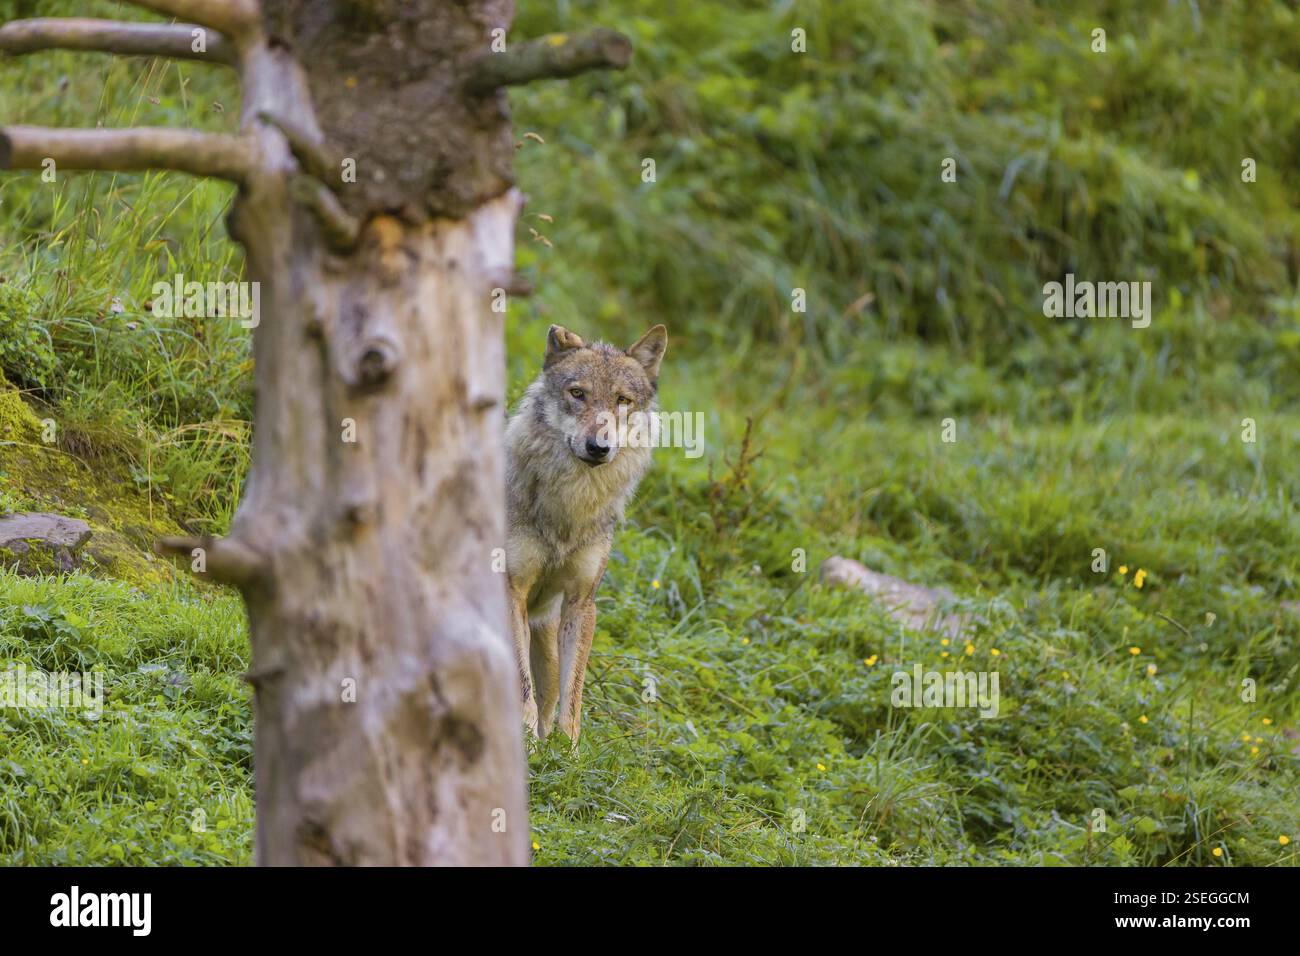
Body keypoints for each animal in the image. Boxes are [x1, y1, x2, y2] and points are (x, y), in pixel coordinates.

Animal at [505, 322, 668, 744]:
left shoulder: (582, 602)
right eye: (578, 394)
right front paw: (528, 746)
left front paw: (568, 752)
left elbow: (573, 698)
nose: (599, 447)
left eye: (623, 400)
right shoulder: (512, 590)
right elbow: (522, 689)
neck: (570, 504)